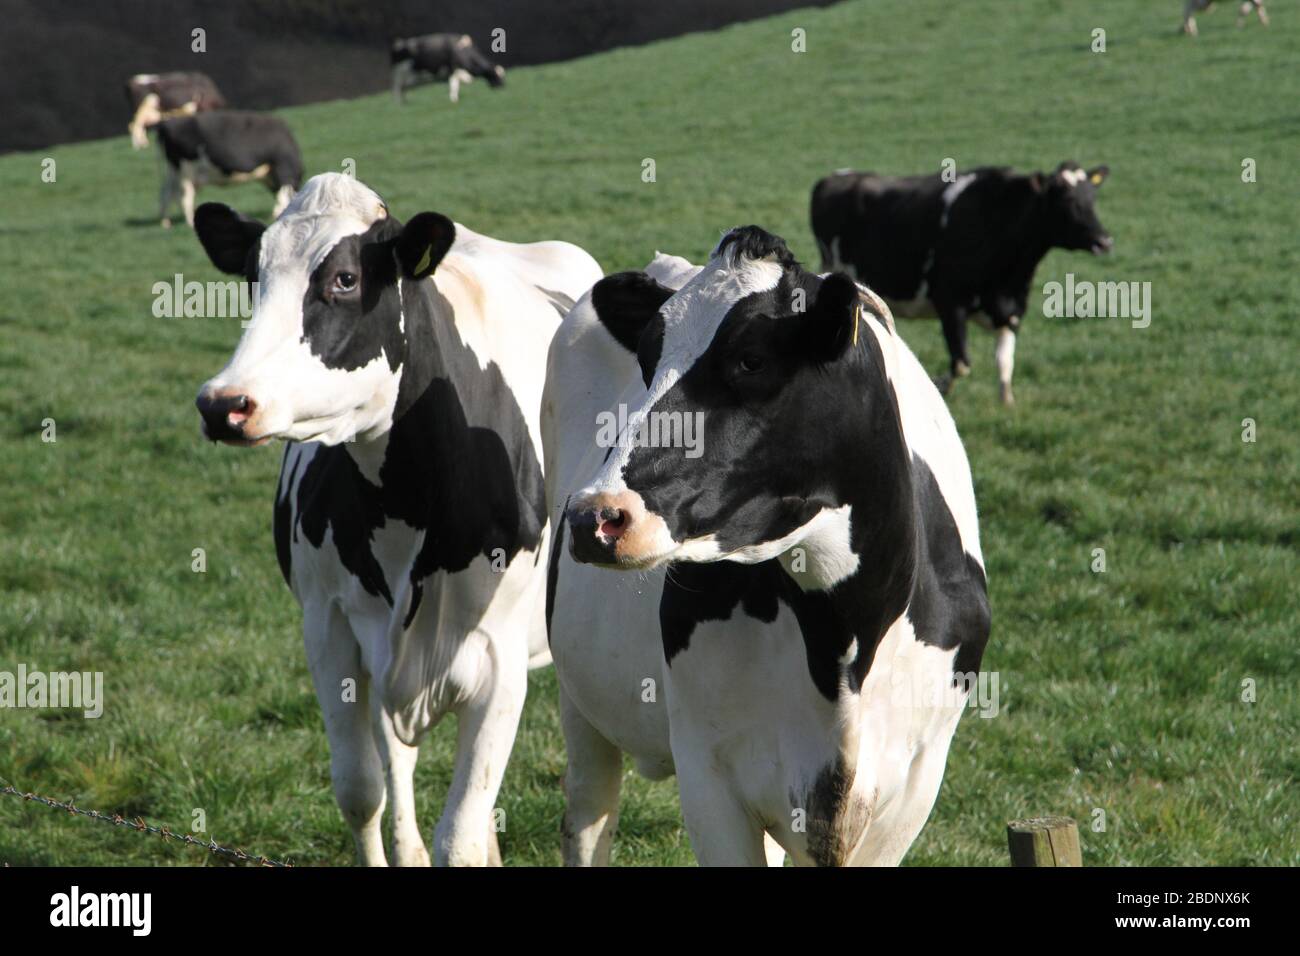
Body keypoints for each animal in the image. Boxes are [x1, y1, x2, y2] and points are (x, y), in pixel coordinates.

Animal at [155, 111, 303, 229]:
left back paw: (165, 222)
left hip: (173, 170)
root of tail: (166, 123)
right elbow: (283, 194)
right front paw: (277, 213)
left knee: (165, 193)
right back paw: (189, 223)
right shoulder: (282, 167)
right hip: (186, 170)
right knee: (184, 196)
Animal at [191, 173, 602, 865]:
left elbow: (461, 832)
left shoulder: (499, 661)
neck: (408, 500)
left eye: (345, 279)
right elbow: (361, 792)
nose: (224, 403)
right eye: (252, 274)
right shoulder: (330, 630)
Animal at [543, 226, 991, 866]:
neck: (841, 643)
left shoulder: (913, 787)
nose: (594, 517)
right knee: (588, 817)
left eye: (750, 359)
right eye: (648, 360)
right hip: (581, 701)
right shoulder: (709, 771)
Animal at [810, 162, 1112, 406]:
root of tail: (835, 177)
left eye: (1092, 197)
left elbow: (1005, 362)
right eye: (1067, 199)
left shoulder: (1013, 310)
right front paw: (941, 388)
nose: (1104, 241)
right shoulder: (950, 304)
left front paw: (1008, 403)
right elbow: (962, 363)